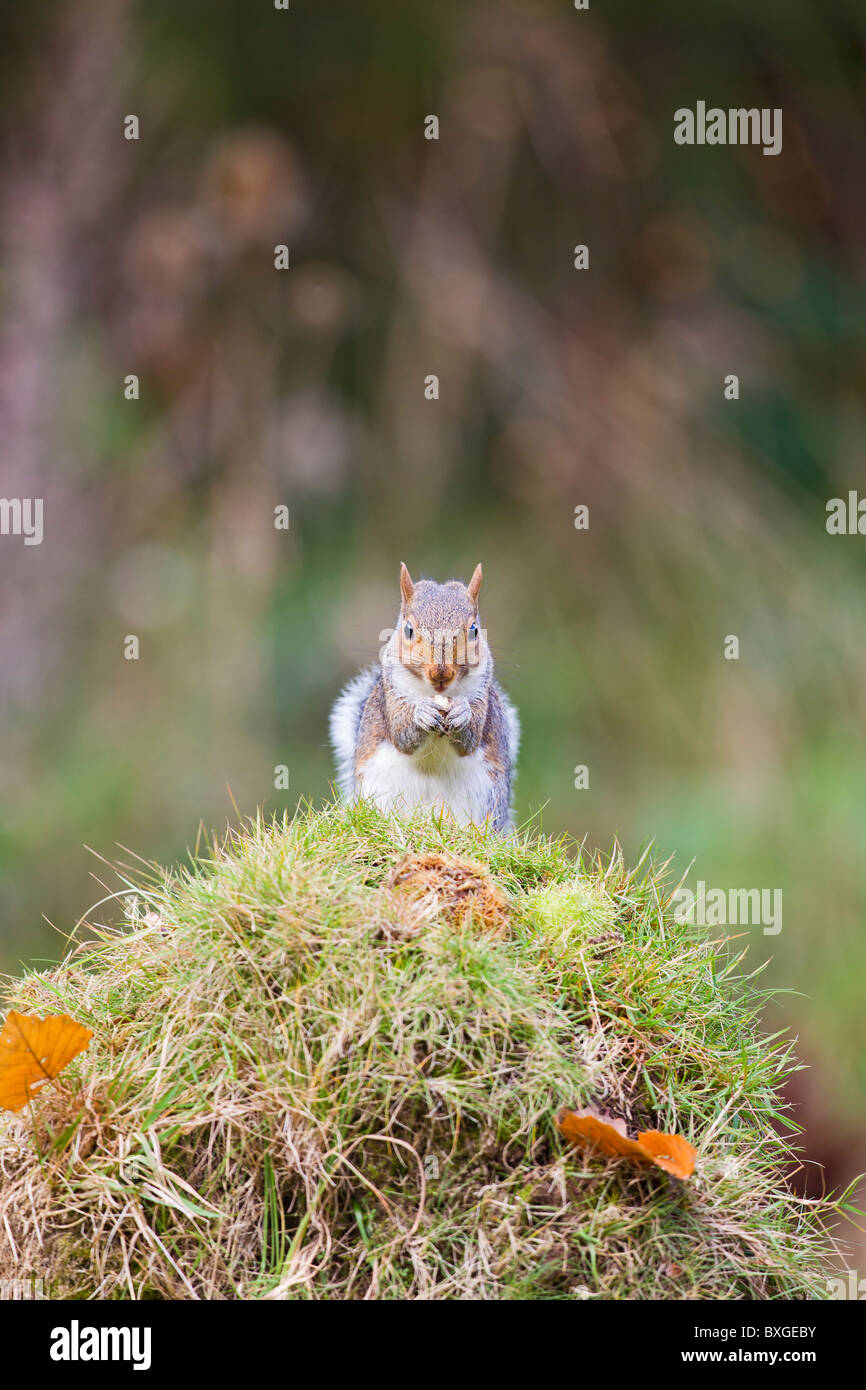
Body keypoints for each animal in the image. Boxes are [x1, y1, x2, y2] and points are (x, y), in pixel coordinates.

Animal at [330, 563, 519, 832]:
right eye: (408, 630)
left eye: (474, 630)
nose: (441, 674)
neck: (437, 695)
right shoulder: (391, 696)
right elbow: (402, 734)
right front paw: (422, 714)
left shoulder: (482, 694)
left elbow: (471, 738)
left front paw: (462, 712)